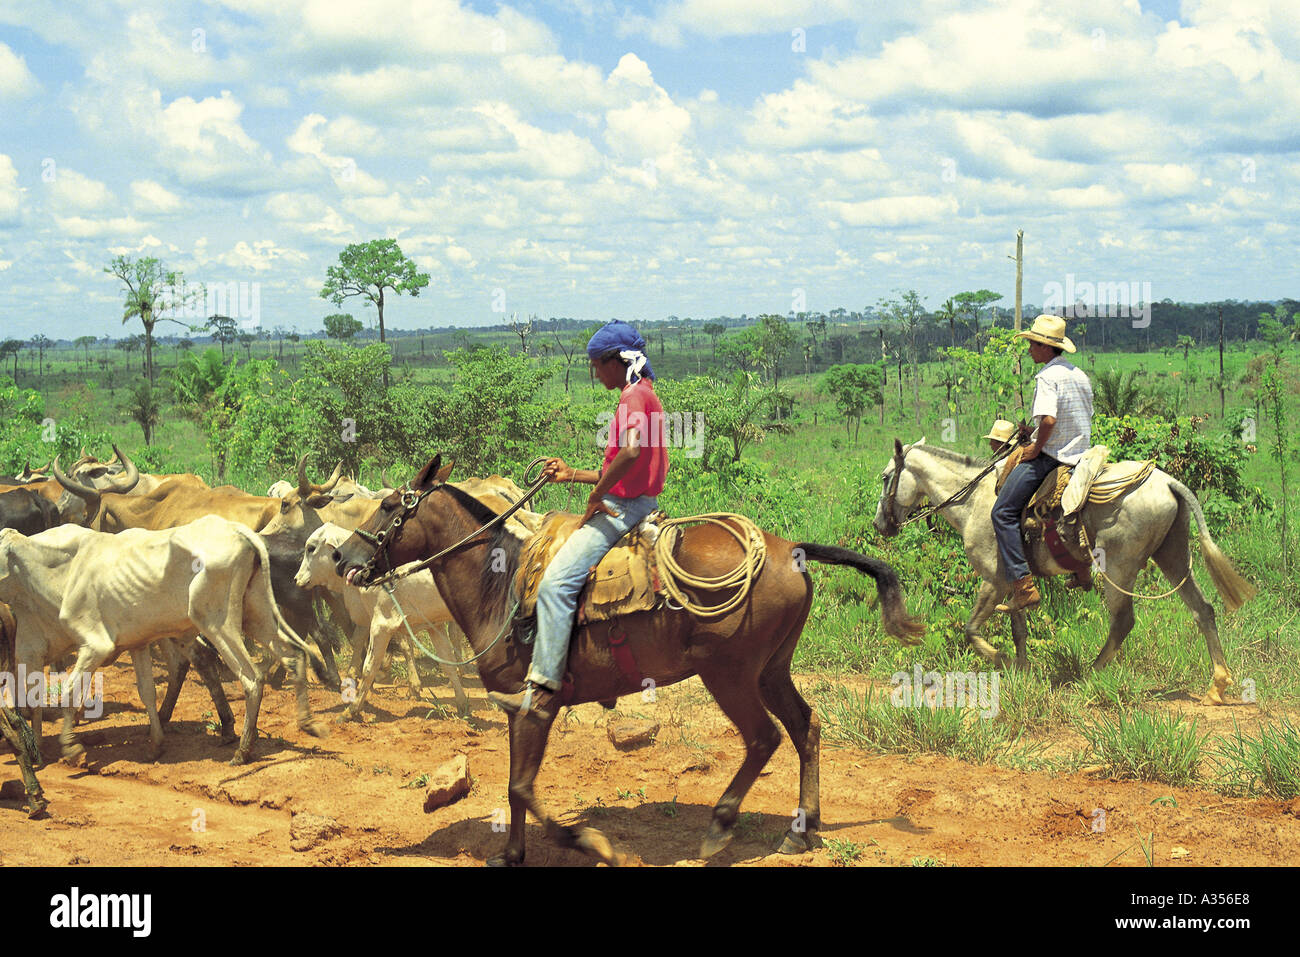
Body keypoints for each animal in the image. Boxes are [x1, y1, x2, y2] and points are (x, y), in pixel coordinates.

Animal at [0, 514, 330, 764]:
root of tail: (239, 530)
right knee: (292, 655)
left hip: (216, 622)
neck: (62, 571)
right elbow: (147, 692)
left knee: (252, 678)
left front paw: (71, 748)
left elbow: (69, 691)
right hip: (255, 614)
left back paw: (243, 750)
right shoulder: (137, 644)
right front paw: (156, 744)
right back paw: (308, 723)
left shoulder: (94, 646)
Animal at [297, 522, 470, 717]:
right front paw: (462, 705)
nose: (296, 579)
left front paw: (352, 709)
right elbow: (447, 664)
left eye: (311, 548)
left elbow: (369, 667)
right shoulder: (433, 625)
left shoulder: (383, 624)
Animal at [335, 455, 925, 868]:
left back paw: (720, 826)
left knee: (765, 737)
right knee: (805, 727)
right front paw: (512, 853)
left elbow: (522, 786)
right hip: (772, 669)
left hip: (730, 673)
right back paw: (801, 830)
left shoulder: (536, 705)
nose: (342, 558)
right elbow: (514, 786)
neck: (499, 585)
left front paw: (593, 843)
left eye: (390, 505)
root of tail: (792, 551)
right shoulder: (515, 709)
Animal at [878, 439, 1253, 702]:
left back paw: (1088, 674)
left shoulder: (994, 580)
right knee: (1202, 610)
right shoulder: (1015, 584)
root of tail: (1168, 483)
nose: (880, 523)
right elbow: (1019, 630)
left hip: (1119, 567)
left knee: (1124, 621)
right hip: (1172, 557)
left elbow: (971, 631)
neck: (973, 501)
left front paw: (1003, 661)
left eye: (885, 478)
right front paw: (1022, 670)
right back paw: (1217, 685)